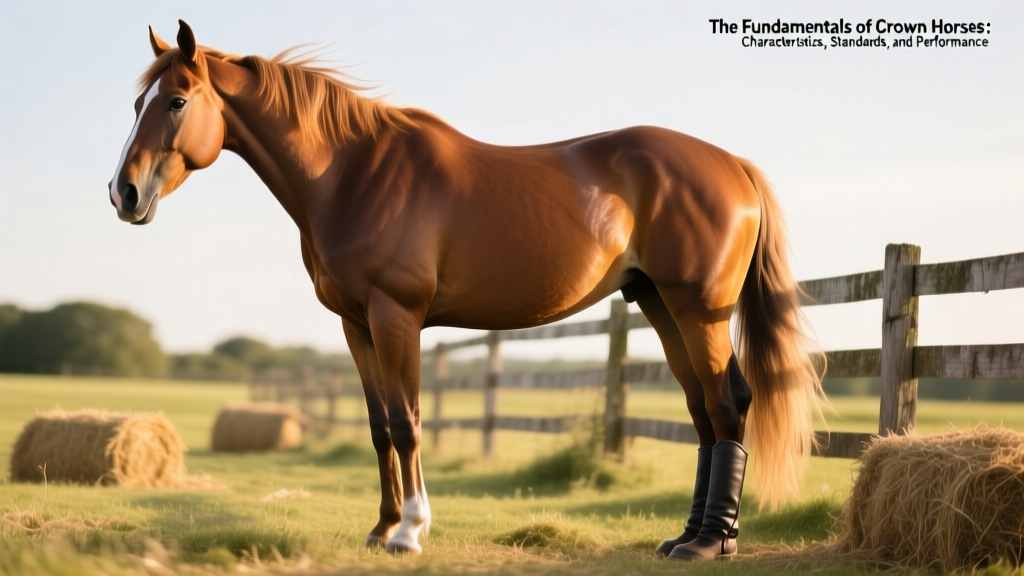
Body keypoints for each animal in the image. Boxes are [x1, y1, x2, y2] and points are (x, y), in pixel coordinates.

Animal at [109, 20, 823, 560]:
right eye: (138, 104)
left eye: (175, 102)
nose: (124, 194)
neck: (351, 173)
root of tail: (734, 165)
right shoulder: (356, 324)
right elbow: (378, 427)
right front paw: (380, 527)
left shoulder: (396, 316)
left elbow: (408, 422)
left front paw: (409, 531)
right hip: (658, 305)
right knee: (703, 410)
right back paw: (690, 537)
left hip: (698, 310)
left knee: (727, 403)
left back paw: (709, 544)